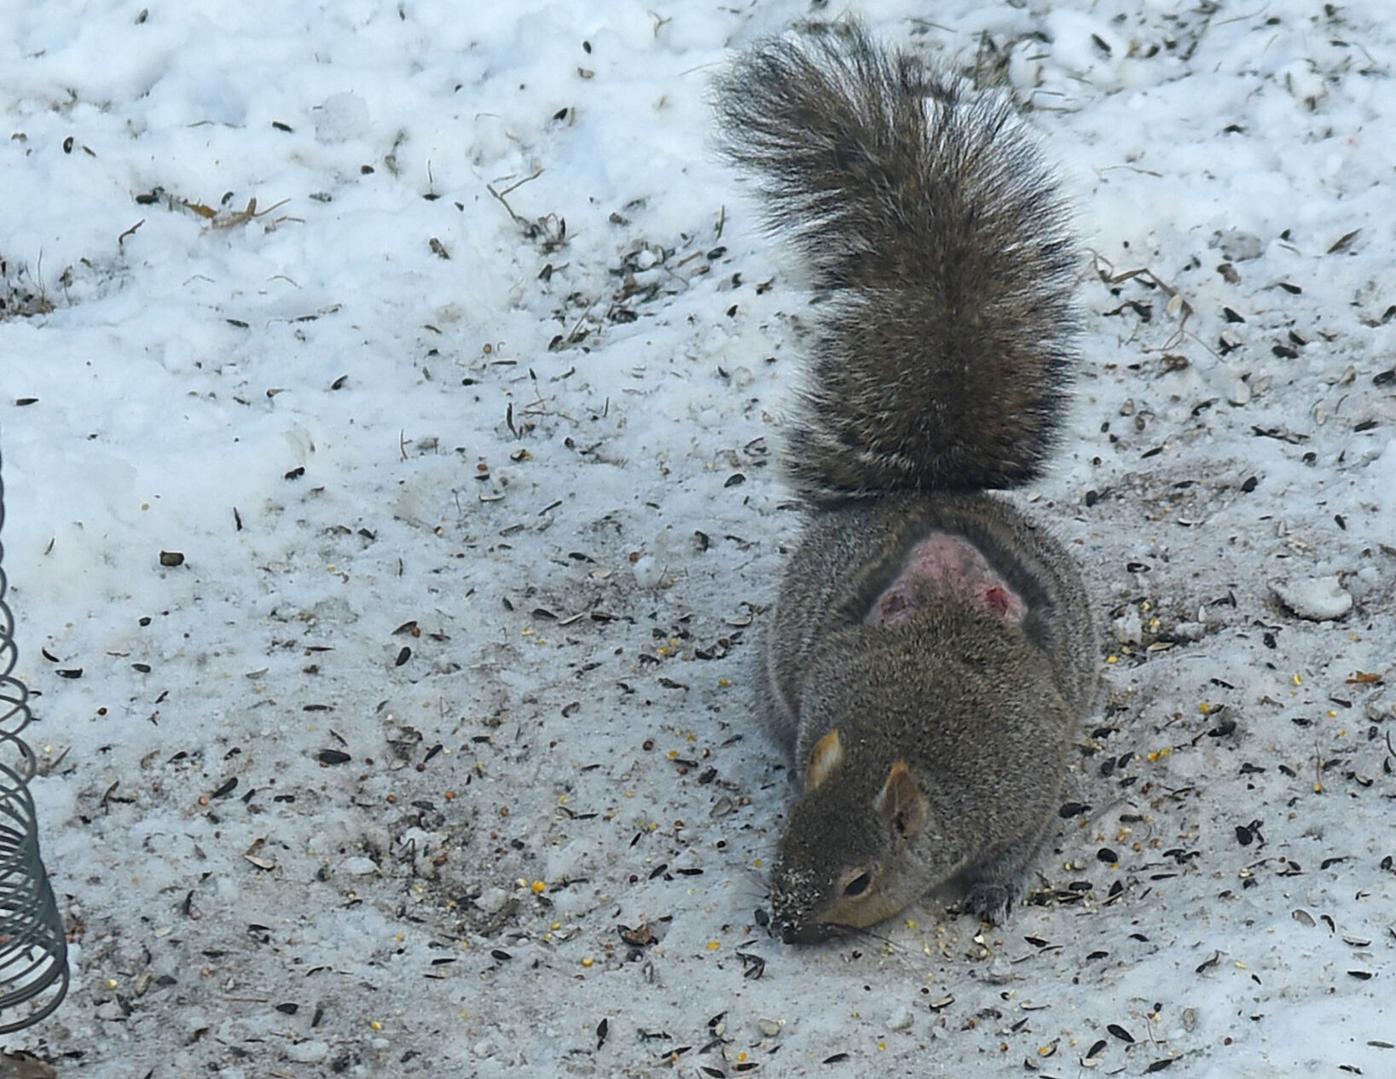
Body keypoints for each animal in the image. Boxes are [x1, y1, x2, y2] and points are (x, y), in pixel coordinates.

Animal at [713, 23, 1099, 943]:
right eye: (785, 836)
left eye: (859, 880)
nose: (782, 921)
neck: (901, 746)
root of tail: (930, 495)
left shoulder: (1025, 791)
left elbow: (1018, 847)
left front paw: (995, 890)